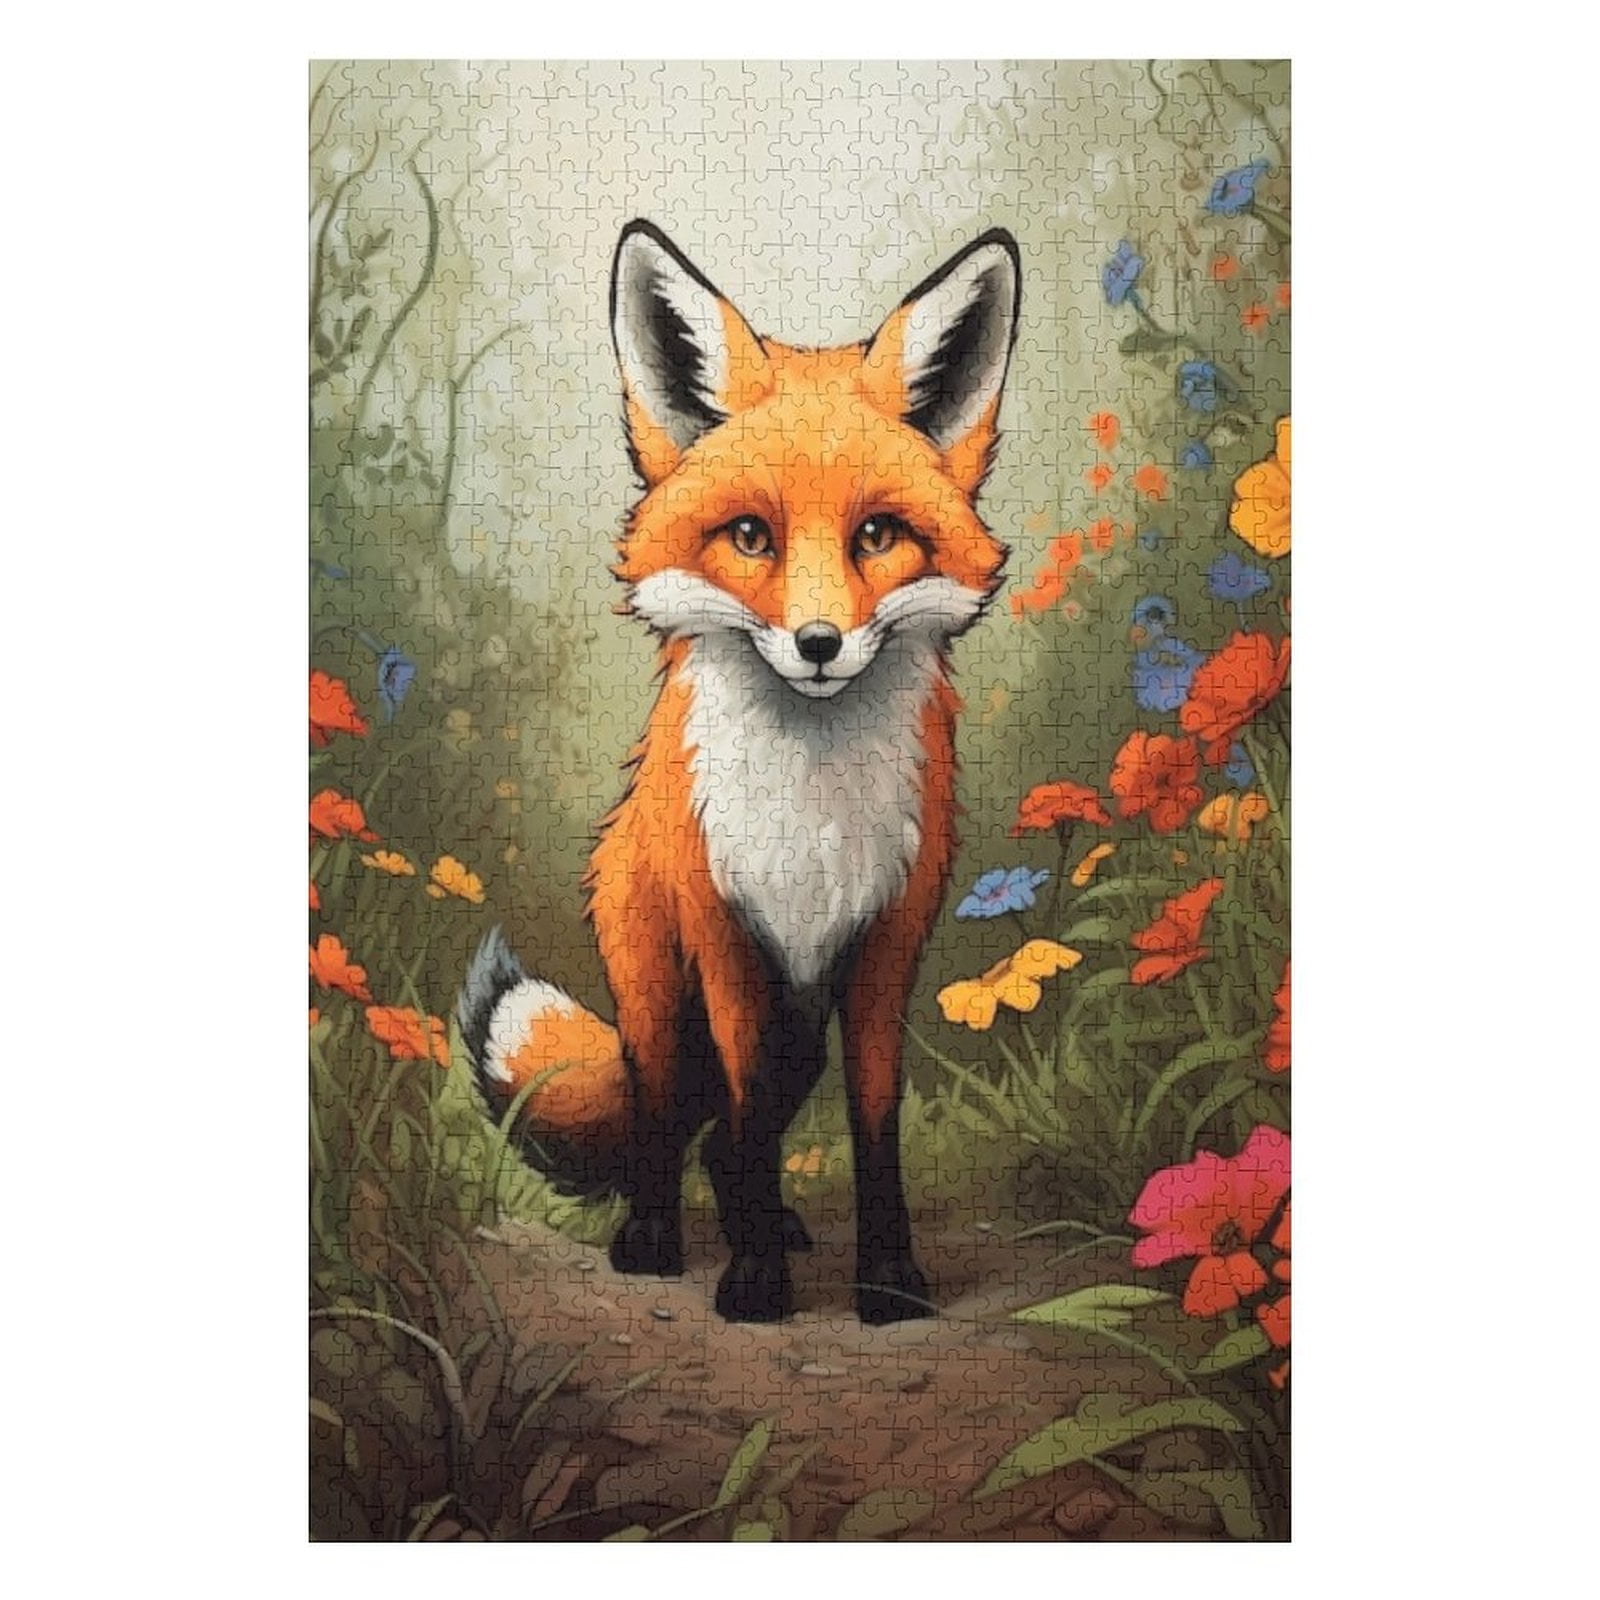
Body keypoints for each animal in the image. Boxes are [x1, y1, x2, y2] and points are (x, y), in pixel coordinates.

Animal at [460, 220, 1020, 1324]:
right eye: (751, 536)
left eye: (877, 534)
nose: (818, 644)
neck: (811, 816)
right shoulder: (727, 938)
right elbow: (751, 1117)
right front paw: (756, 1283)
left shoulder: (887, 944)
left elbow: (872, 1123)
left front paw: (886, 1282)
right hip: (655, 994)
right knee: (664, 1118)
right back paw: (653, 1237)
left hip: (806, 1026)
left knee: (713, 1139)